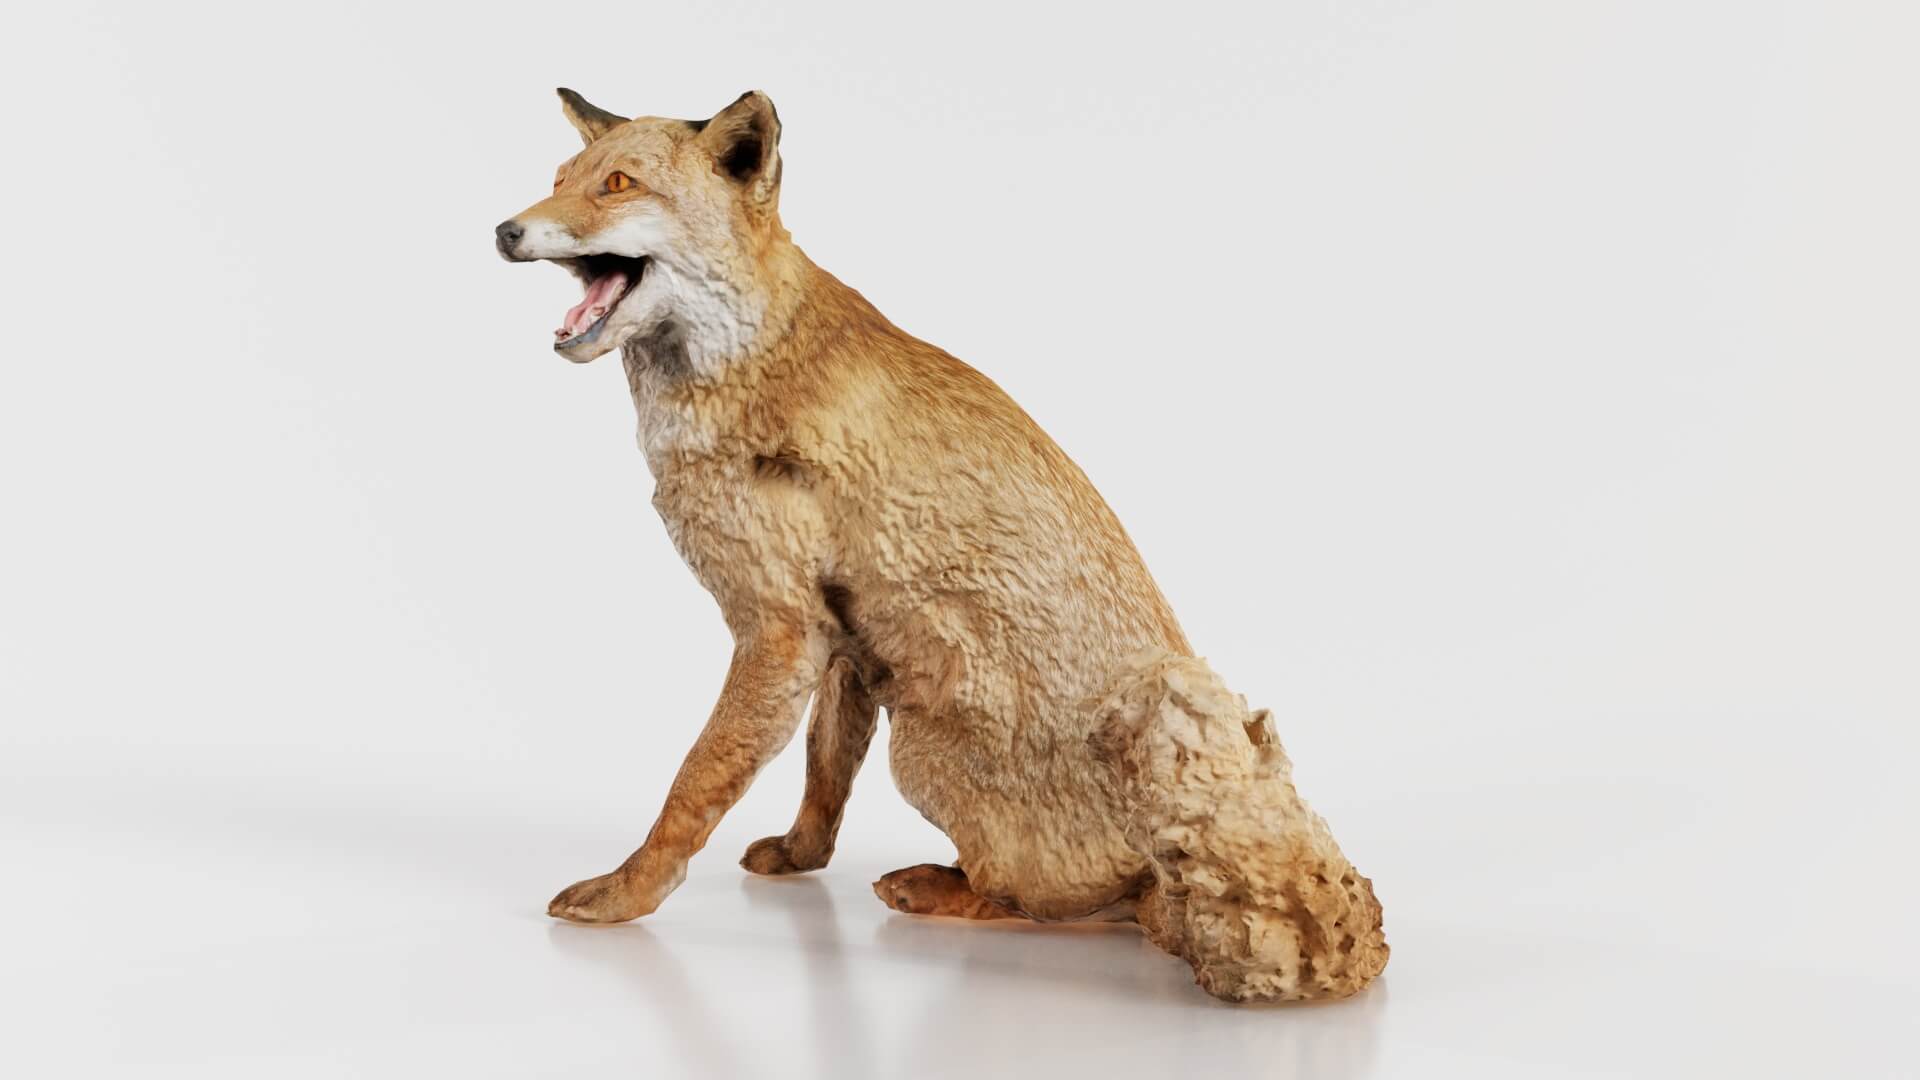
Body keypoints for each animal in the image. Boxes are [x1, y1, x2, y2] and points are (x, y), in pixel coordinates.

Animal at [494, 87, 1388, 1002]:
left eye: (617, 185)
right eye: (559, 179)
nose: (504, 231)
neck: (746, 364)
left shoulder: (778, 627)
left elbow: (696, 781)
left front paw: (627, 893)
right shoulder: (847, 637)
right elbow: (824, 767)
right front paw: (800, 856)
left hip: (922, 749)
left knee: (1065, 904)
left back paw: (941, 888)